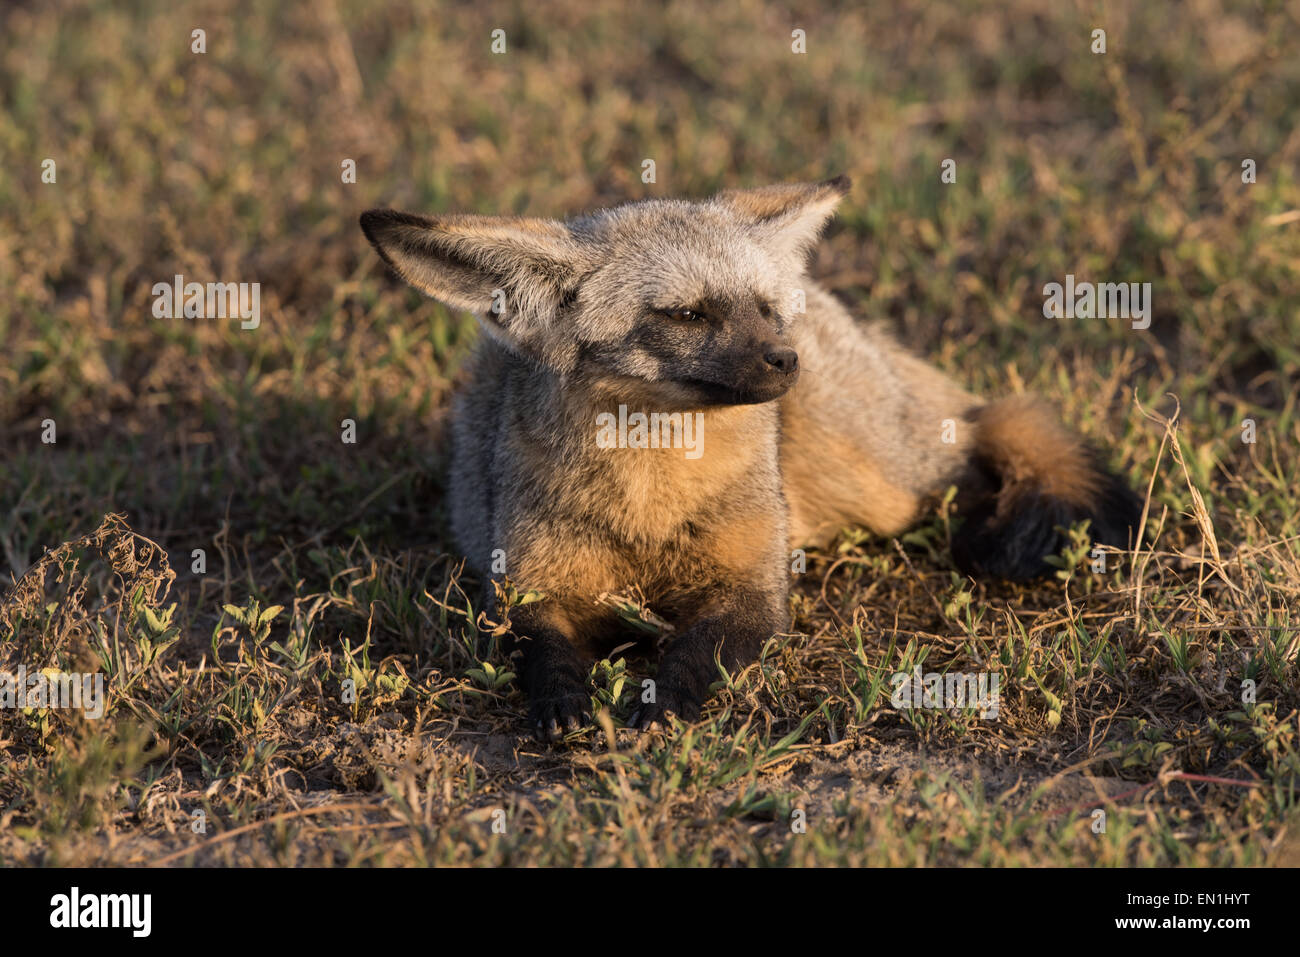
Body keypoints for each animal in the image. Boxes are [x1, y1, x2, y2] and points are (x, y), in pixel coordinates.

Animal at [359, 177, 1141, 738]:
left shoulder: (754, 586)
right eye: (686, 314)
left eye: (762, 309)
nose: (785, 359)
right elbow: (542, 652)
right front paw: (565, 703)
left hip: (883, 484)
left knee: (983, 442)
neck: (649, 503)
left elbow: (699, 651)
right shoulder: (526, 590)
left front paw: (662, 703)